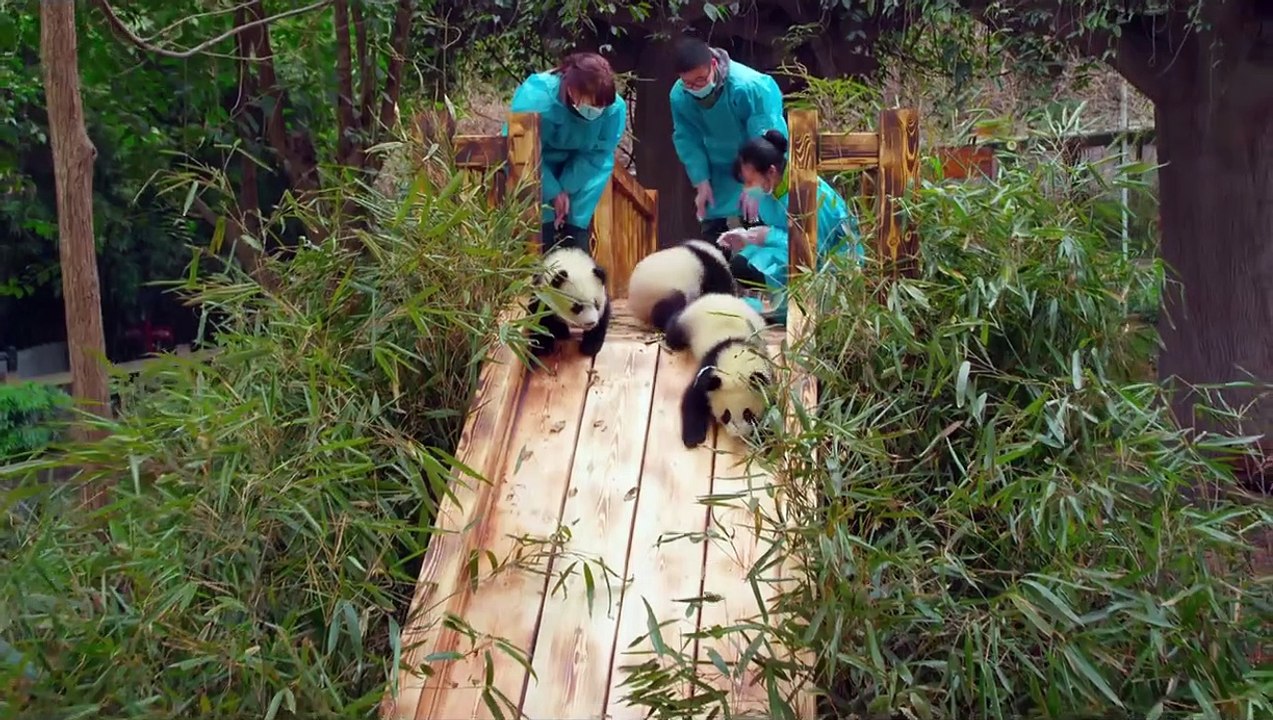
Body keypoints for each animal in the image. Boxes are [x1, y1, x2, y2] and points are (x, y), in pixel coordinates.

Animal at [663, 292, 775, 448]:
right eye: (726, 415)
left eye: (748, 414)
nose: (737, 434)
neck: (736, 359)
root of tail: (718, 294)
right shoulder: (710, 368)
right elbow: (693, 398)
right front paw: (693, 438)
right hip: (688, 320)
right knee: (674, 332)